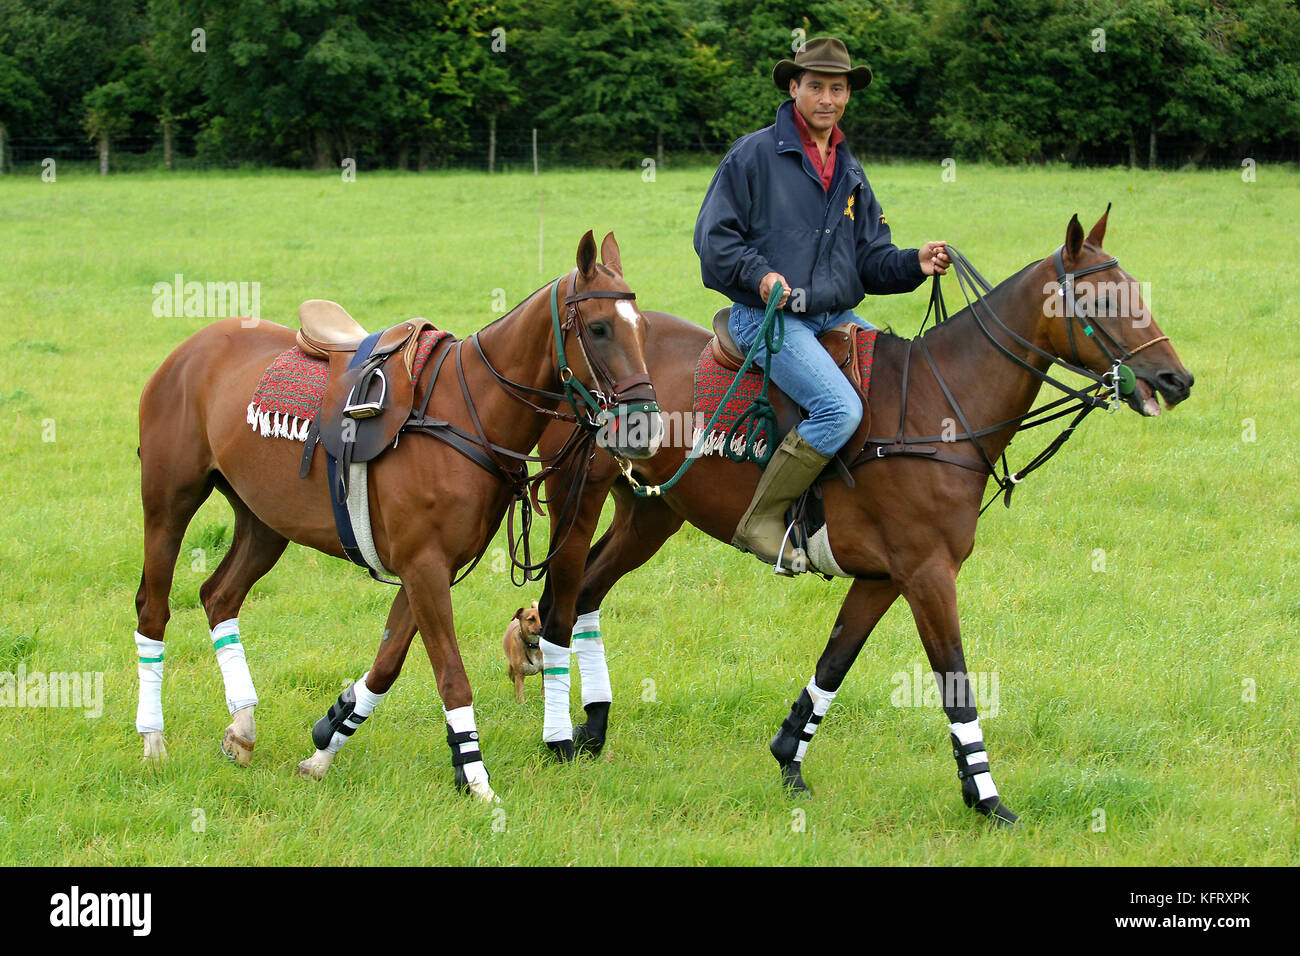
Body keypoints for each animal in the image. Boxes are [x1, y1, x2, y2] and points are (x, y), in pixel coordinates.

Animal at [132, 231, 661, 802]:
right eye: (599, 328)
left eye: (644, 328)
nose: (647, 430)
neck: (469, 410)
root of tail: (189, 348)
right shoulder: (423, 564)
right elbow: (452, 676)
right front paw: (477, 780)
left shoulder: (427, 569)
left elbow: (386, 667)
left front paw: (326, 744)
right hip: (169, 502)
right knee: (153, 610)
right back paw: (153, 742)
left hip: (263, 519)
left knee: (219, 596)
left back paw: (242, 726)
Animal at [528, 208, 1195, 824]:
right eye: (1100, 299)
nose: (1176, 378)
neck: (939, 409)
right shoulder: (928, 574)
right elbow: (955, 682)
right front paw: (986, 798)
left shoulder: (883, 578)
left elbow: (834, 662)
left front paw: (789, 761)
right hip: (576, 500)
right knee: (558, 603)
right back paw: (559, 736)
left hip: (653, 512)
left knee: (587, 591)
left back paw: (593, 730)